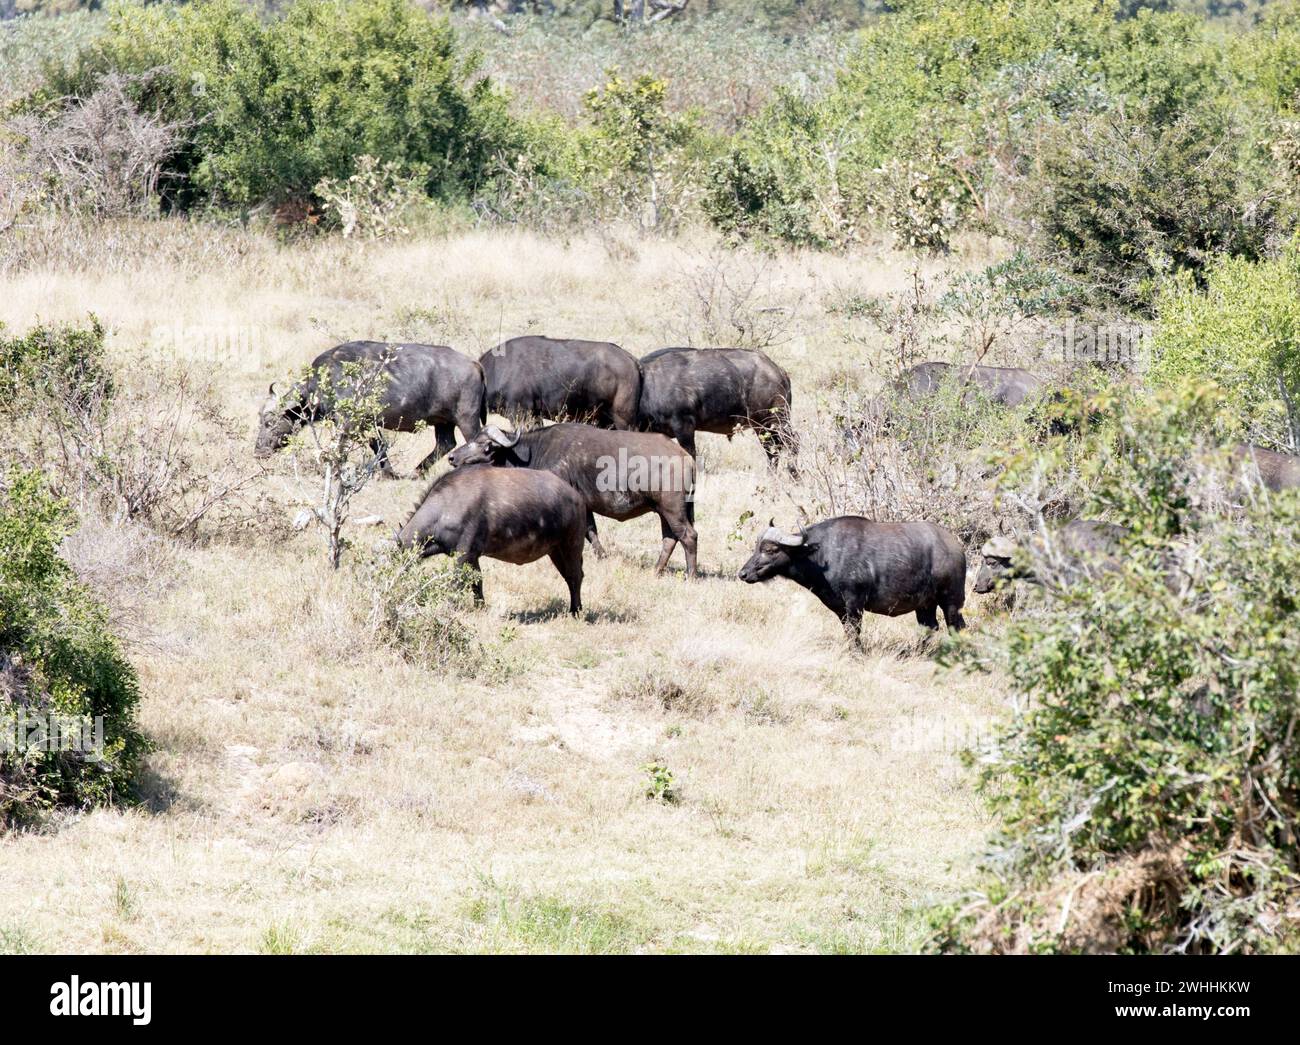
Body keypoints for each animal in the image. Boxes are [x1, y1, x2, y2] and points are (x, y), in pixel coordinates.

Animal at [255, 341, 485, 475]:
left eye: (269, 422)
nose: (259, 451)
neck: (323, 381)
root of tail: (474, 364)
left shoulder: (347, 423)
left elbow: (341, 449)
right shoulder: (367, 424)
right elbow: (379, 445)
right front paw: (388, 473)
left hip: (467, 419)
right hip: (442, 422)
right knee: (445, 444)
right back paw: (416, 471)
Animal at [396, 465, 587, 615]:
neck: (445, 507)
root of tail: (576, 496)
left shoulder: (463, 555)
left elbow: (456, 583)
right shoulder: (472, 557)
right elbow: (477, 582)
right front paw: (480, 607)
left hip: (572, 545)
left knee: (576, 575)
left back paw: (575, 610)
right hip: (555, 551)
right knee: (569, 576)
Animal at [448, 423, 698, 576]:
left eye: (484, 444)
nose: (452, 457)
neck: (536, 450)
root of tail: (685, 456)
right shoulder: (585, 507)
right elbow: (592, 532)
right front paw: (602, 557)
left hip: (672, 508)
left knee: (688, 536)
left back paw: (691, 575)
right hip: (663, 510)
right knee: (669, 539)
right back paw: (656, 570)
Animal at [637, 347, 795, 465]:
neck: (647, 386)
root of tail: (779, 371)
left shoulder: (684, 427)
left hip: (776, 421)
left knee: (792, 443)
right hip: (762, 427)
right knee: (772, 450)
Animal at [738, 516, 966, 642]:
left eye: (770, 549)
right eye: (756, 547)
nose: (743, 574)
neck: (824, 555)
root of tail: (956, 547)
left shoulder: (855, 603)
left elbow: (854, 632)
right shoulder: (840, 609)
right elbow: (848, 632)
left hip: (951, 602)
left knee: (956, 627)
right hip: (924, 605)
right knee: (929, 627)